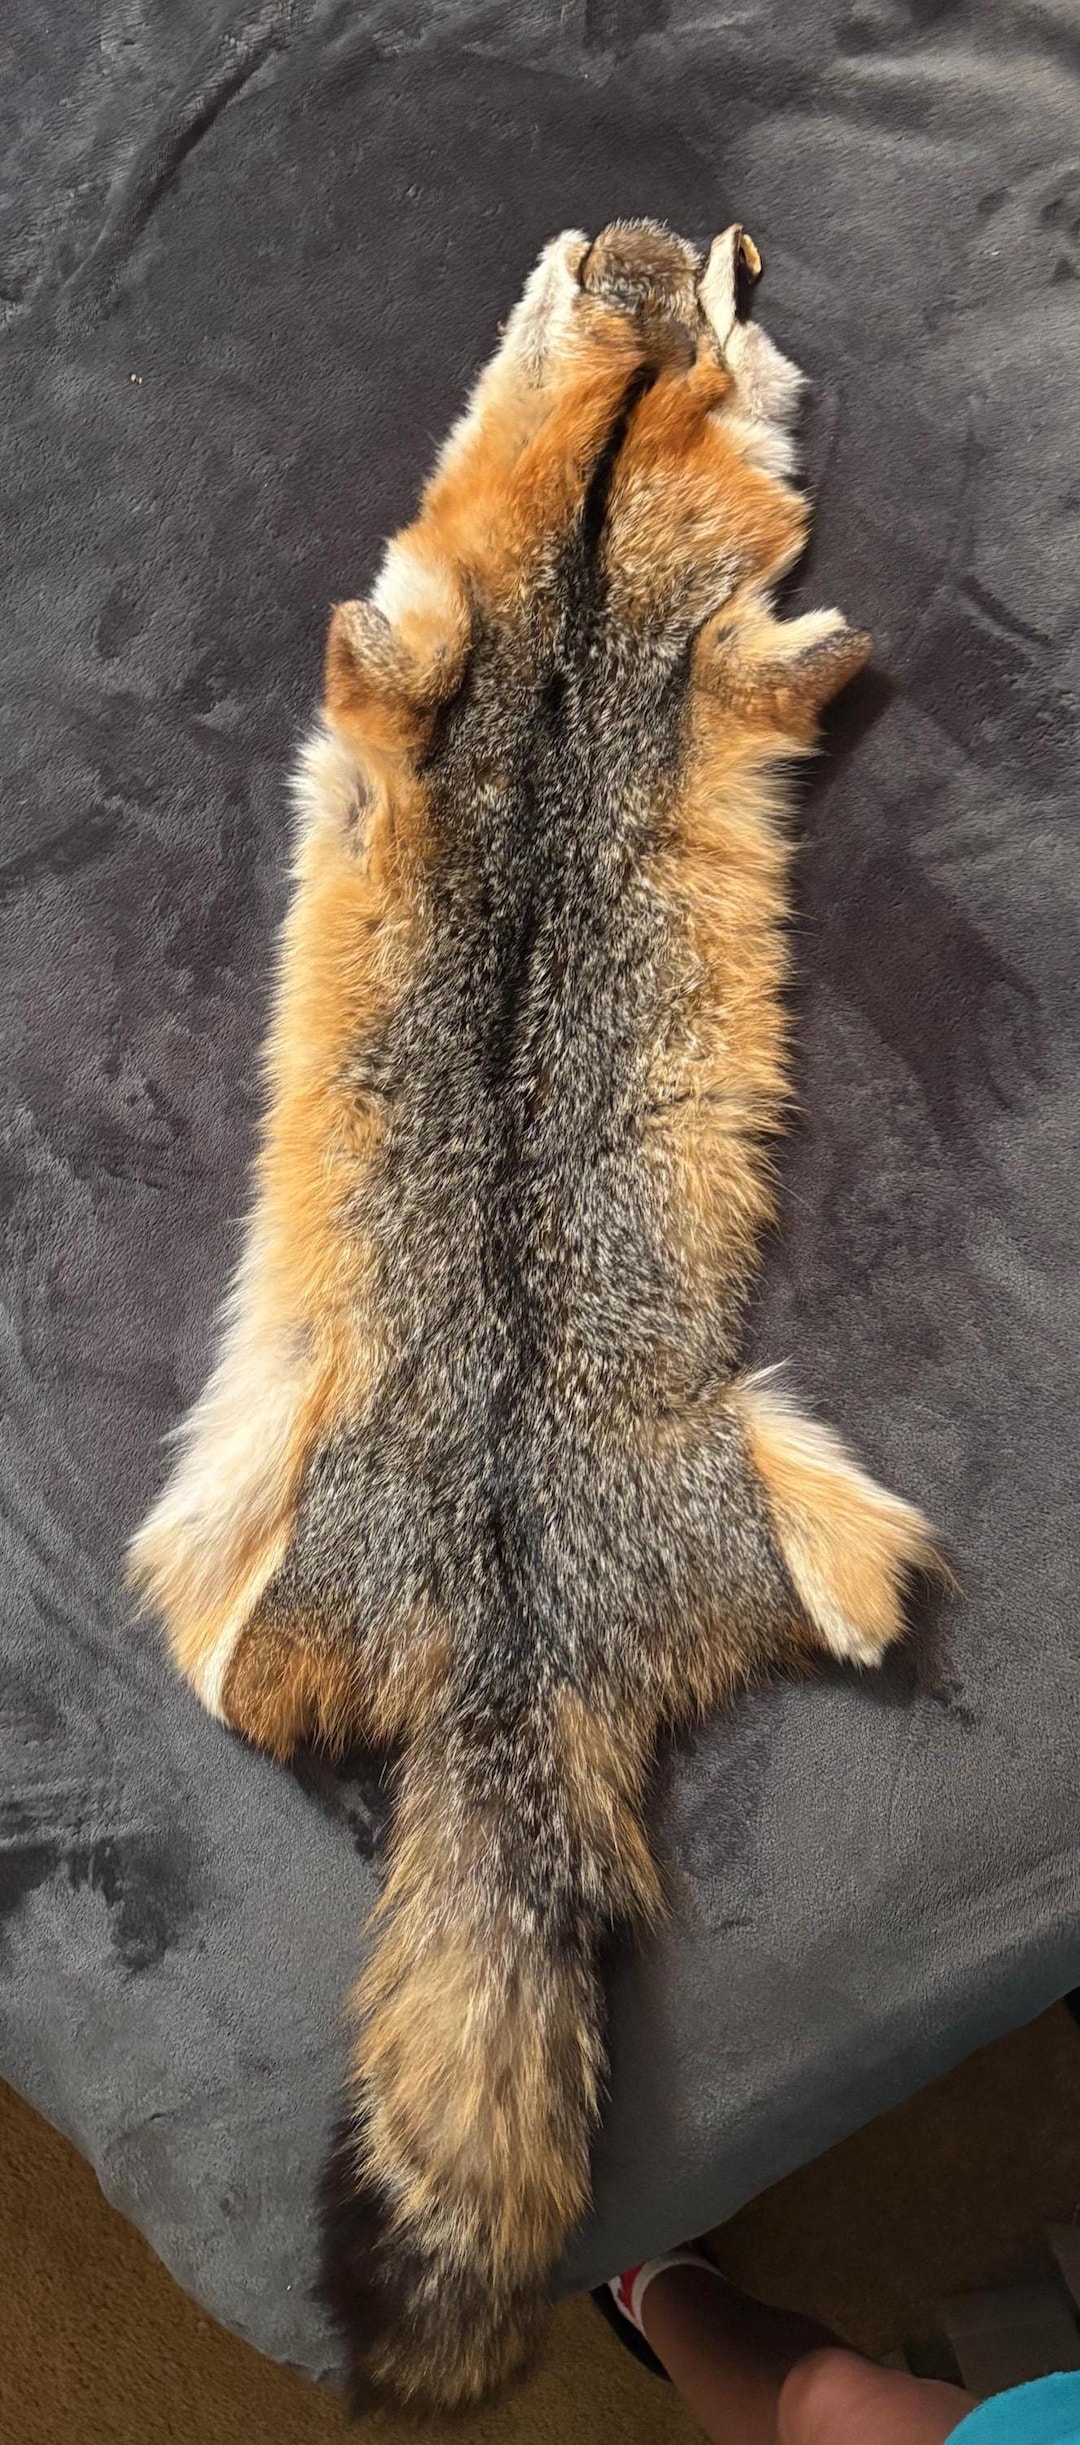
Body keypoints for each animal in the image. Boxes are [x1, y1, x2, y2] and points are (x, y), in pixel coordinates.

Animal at [129, 219, 937, 2411]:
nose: (664, 238)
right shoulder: (564, 659)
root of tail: (516, 1634)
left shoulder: (661, 659)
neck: (584, 563)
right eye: (623, 265)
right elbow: (406, 659)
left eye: (719, 286)